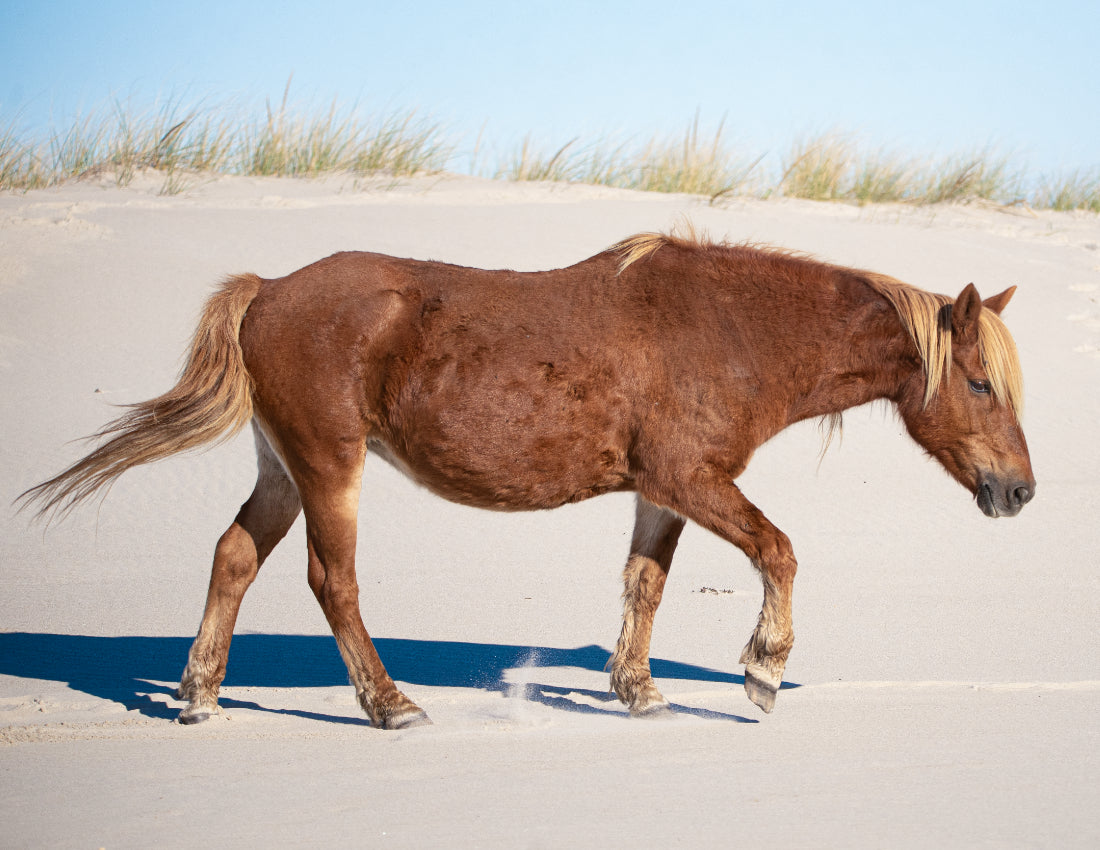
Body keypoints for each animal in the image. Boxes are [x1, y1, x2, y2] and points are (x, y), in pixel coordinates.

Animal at [20, 230, 1035, 728]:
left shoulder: (663, 491)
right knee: (331, 581)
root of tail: (269, 289)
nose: (1021, 491)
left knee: (234, 557)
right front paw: (761, 671)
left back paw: (198, 695)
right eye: (981, 382)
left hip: (283, 469)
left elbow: (643, 584)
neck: (732, 328)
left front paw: (639, 692)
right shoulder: (693, 479)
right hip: (328, 467)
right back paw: (389, 705)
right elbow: (780, 552)